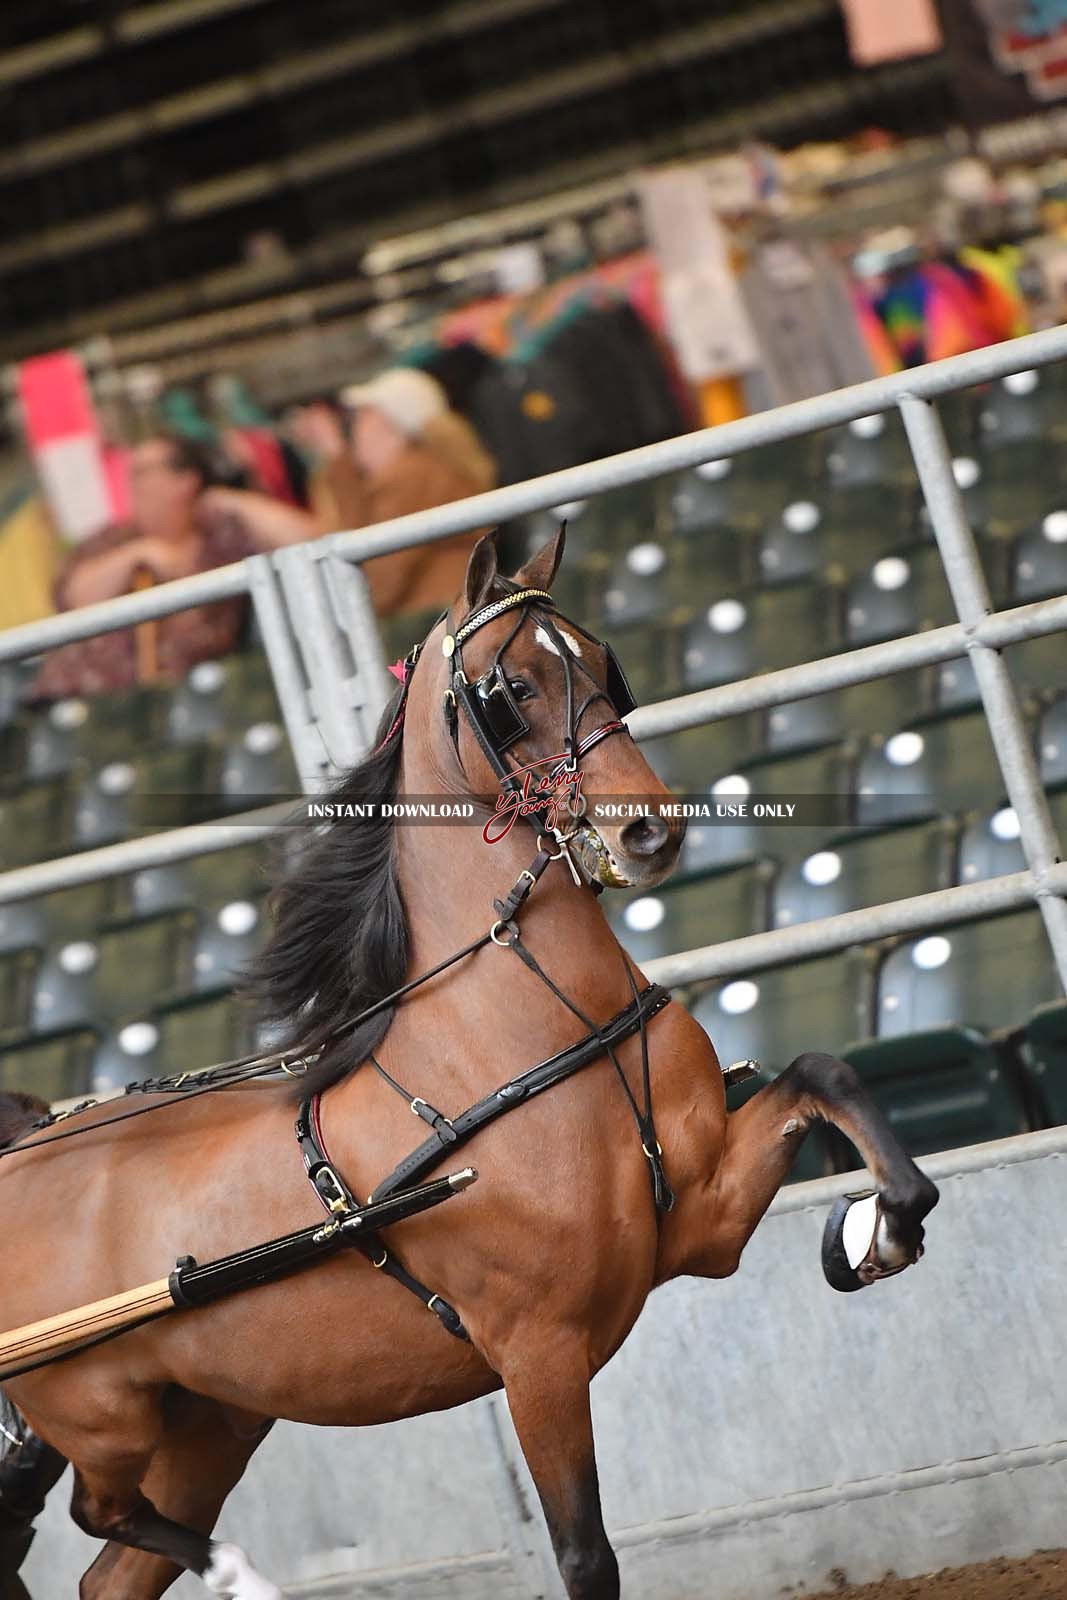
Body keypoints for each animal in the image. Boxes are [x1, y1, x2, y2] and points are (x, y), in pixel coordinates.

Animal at [0, 528, 938, 1600]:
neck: (524, 1037)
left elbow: (824, 1075)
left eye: (601, 661)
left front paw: (883, 1224)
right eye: (511, 688)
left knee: (110, 1568)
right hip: (104, 1416)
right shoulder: (536, 1354)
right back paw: (237, 1570)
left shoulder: (702, 1218)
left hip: (216, 1420)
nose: (648, 830)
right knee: (100, 1510)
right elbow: (584, 1555)